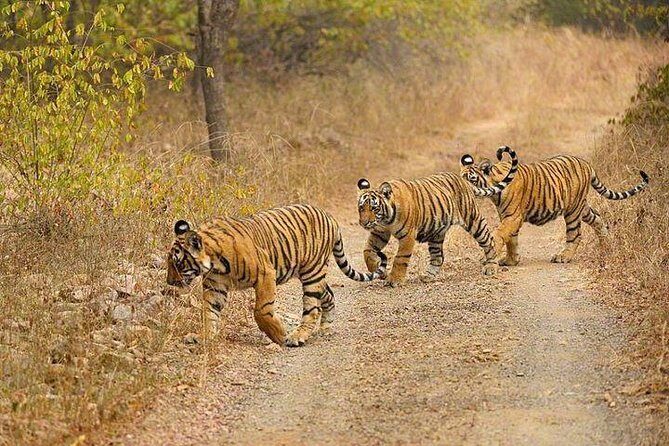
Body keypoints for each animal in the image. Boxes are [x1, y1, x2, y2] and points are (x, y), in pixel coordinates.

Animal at [166, 204, 387, 347]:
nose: (169, 282)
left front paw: (278, 334)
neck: (215, 263)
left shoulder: (265, 273)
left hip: (312, 272)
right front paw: (203, 336)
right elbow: (208, 312)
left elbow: (261, 310)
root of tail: (329, 217)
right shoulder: (215, 287)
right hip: (313, 275)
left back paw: (297, 337)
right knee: (328, 295)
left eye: (177, 263)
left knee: (312, 308)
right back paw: (325, 328)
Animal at [356, 145, 518, 287]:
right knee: (438, 257)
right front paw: (378, 270)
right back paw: (428, 276)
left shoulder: (407, 236)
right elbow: (367, 251)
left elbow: (400, 258)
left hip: (473, 220)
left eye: (374, 208)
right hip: (436, 232)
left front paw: (393, 280)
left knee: (489, 241)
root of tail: (464, 180)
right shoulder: (379, 232)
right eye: (361, 208)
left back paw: (491, 266)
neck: (386, 219)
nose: (364, 223)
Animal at [460, 146, 650, 265]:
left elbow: (500, 235)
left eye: (471, 180)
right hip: (582, 208)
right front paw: (511, 261)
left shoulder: (513, 216)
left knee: (575, 235)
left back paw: (563, 257)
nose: (461, 190)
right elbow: (511, 240)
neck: (494, 190)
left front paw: (490, 256)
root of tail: (586, 164)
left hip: (573, 211)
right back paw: (606, 245)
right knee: (598, 218)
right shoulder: (507, 216)